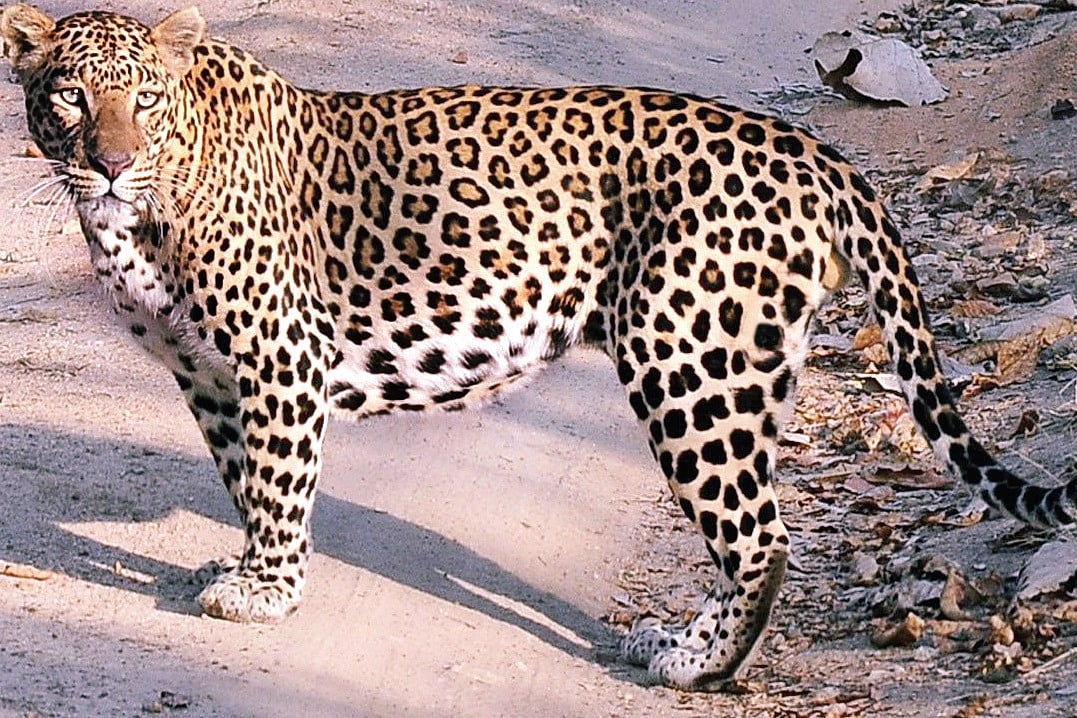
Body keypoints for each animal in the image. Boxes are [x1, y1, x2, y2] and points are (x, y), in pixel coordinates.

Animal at [3, 4, 1075, 692]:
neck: (143, 214)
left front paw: (265, 593)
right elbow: (241, 479)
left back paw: (692, 665)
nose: (111, 164)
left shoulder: (278, 362)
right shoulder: (208, 376)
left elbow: (275, 484)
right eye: (71, 98)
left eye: (143, 100)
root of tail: (813, 151)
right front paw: (240, 569)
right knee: (755, 522)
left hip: (684, 362)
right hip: (746, 367)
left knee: (760, 537)